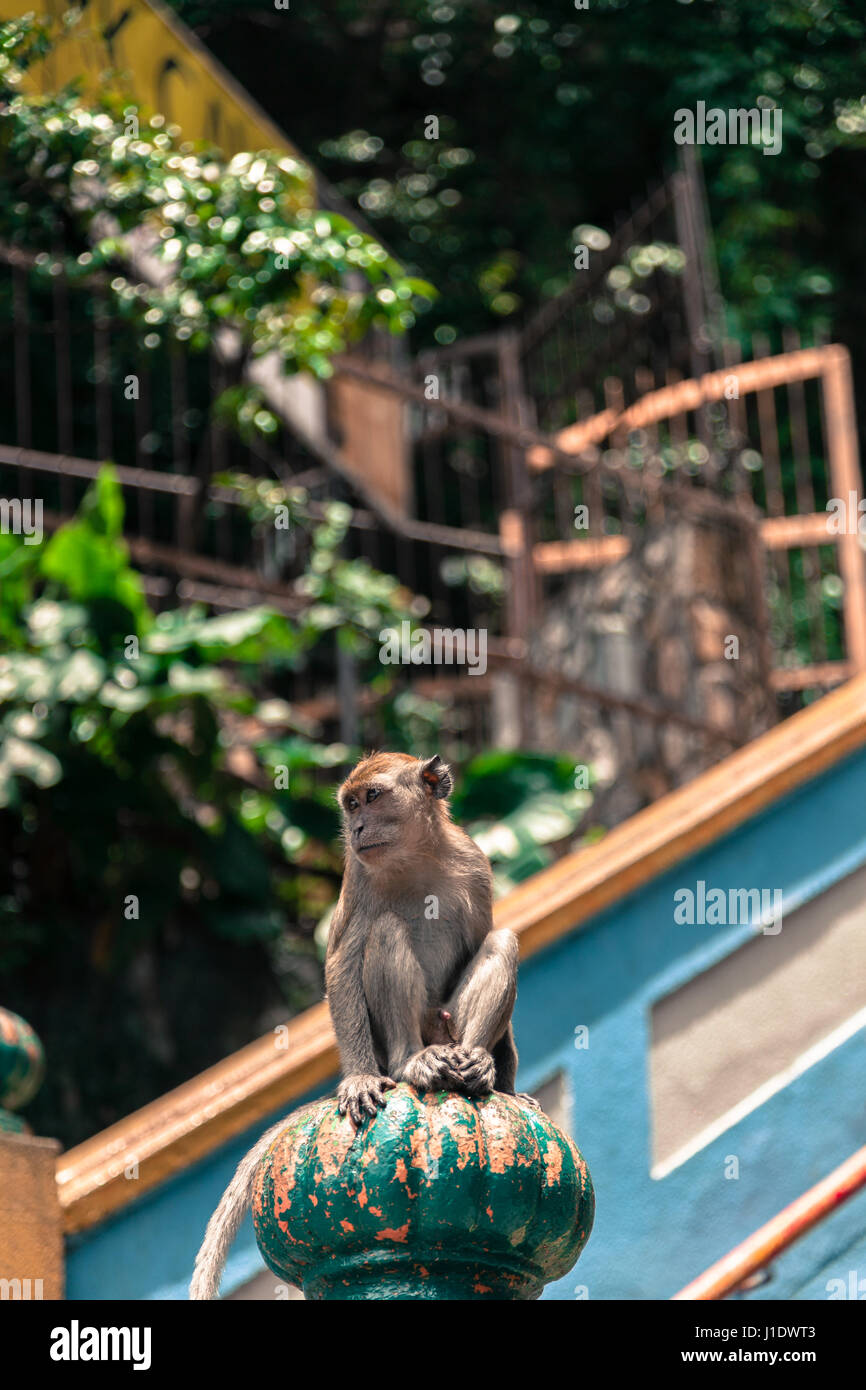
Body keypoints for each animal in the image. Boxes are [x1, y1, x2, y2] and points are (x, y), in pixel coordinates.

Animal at [190, 751, 527, 1299]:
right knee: (386, 932)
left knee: (501, 940)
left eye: (372, 797)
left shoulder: (475, 866)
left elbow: (484, 934)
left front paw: (512, 1085)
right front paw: (359, 1079)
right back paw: (414, 1064)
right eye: (350, 805)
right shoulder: (358, 875)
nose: (357, 828)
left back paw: (476, 1064)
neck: (415, 858)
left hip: (446, 1024)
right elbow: (342, 964)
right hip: (402, 1037)